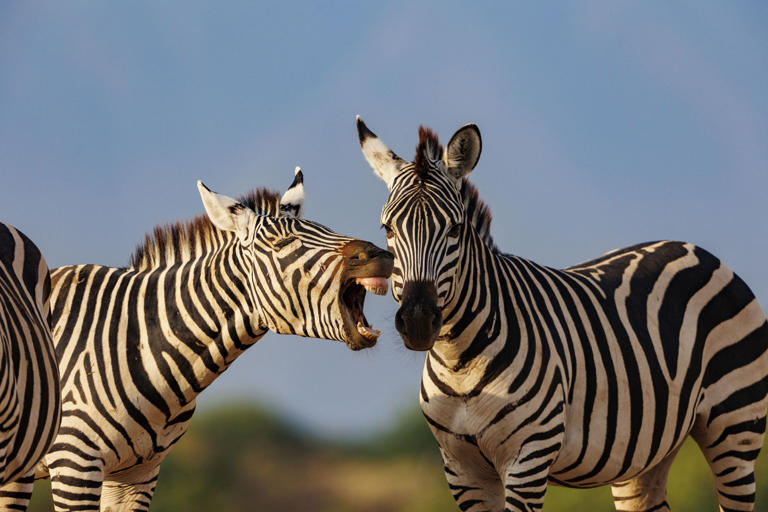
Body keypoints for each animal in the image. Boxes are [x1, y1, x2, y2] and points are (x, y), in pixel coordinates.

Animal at [0, 168, 393, 511]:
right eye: (283, 242)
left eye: (328, 229)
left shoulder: (137, 473)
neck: (142, 340)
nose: (381, 255)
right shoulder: (74, 461)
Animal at [356, 117, 768, 512]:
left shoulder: (528, 459)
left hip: (735, 430)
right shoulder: (461, 471)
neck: (460, 361)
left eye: (455, 229)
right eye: (387, 227)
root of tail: (692, 248)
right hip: (646, 453)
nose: (418, 321)